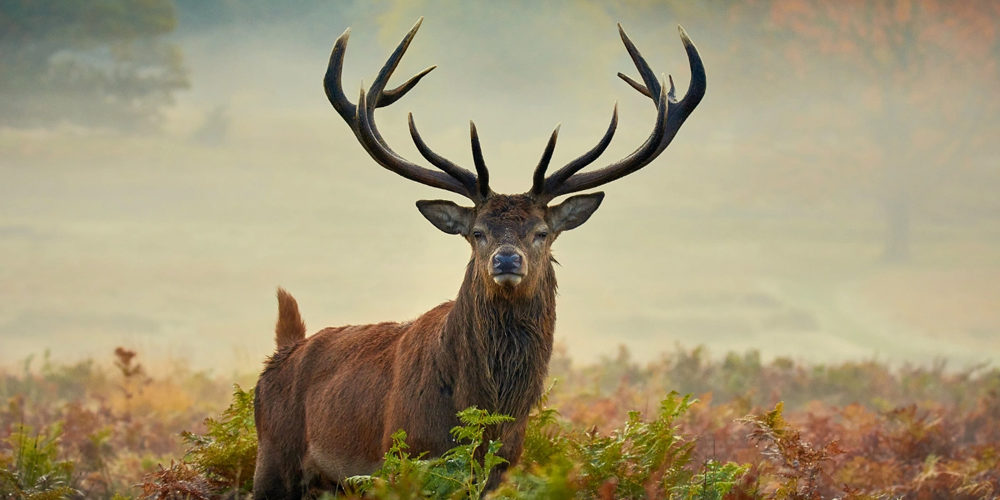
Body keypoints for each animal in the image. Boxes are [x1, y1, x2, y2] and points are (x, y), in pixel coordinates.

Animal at [252, 18, 705, 499]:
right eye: (477, 233)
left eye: (542, 232)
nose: (506, 261)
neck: (482, 418)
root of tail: (281, 353)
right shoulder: (402, 458)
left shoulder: (498, 471)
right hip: (274, 457)